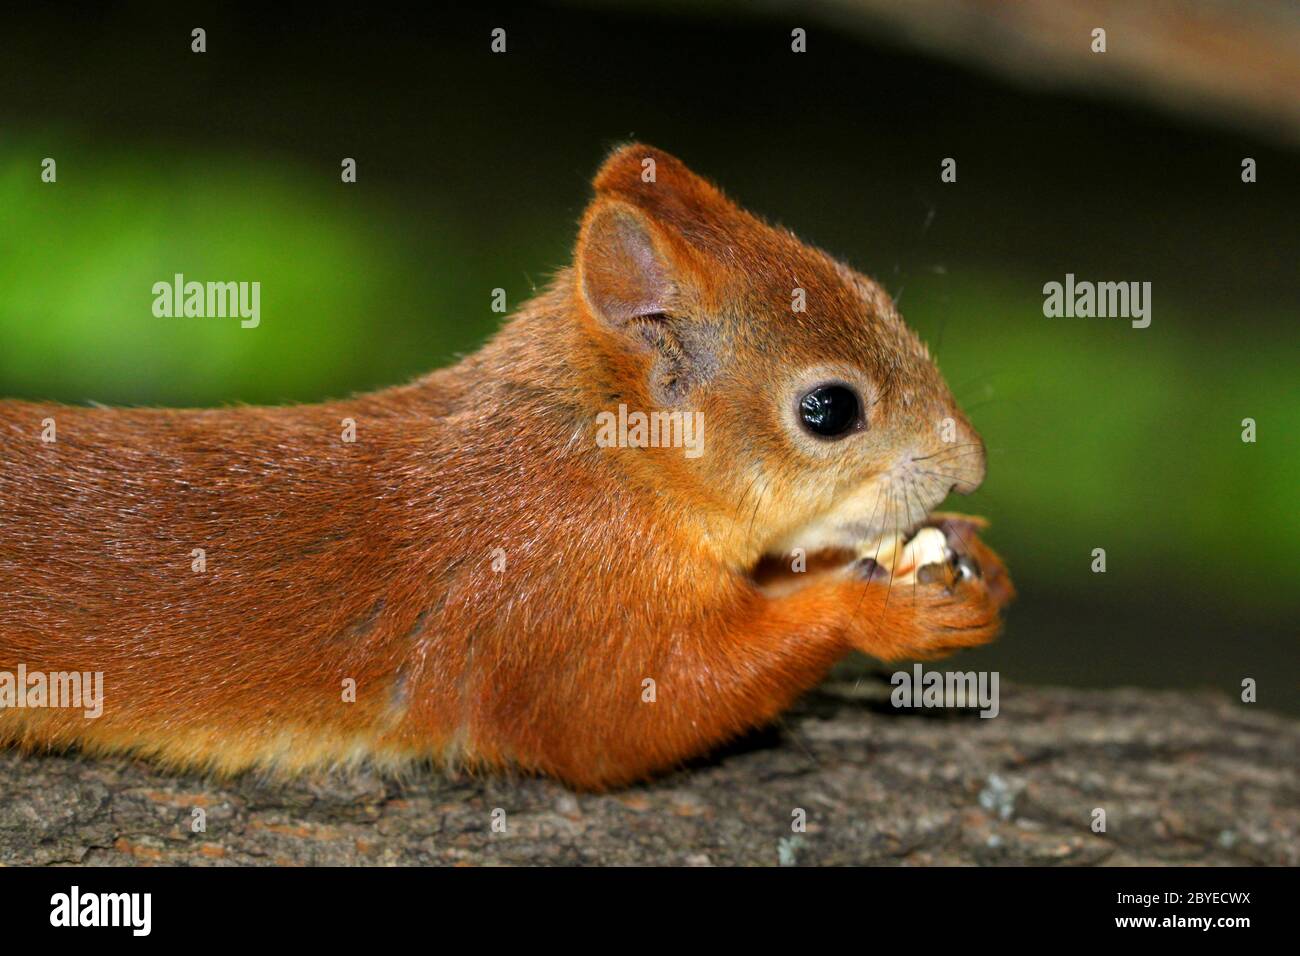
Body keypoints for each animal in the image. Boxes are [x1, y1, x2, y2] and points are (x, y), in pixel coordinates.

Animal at [0, 145, 1013, 790]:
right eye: (830, 410)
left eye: (877, 294)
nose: (970, 465)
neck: (601, 463)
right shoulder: (548, 597)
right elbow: (622, 720)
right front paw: (882, 611)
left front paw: (965, 551)